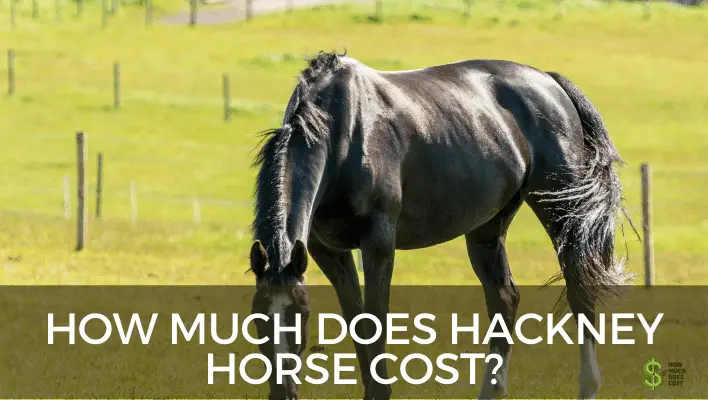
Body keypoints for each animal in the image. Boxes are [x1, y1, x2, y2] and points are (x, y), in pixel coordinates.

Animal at [247, 50, 633, 400]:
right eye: (258, 320)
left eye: (299, 317)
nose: (282, 393)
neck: (342, 132)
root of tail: (551, 82)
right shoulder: (327, 251)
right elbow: (357, 321)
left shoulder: (378, 243)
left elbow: (375, 321)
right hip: (487, 226)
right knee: (504, 298)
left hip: (563, 213)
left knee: (580, 292)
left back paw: (588, 386)